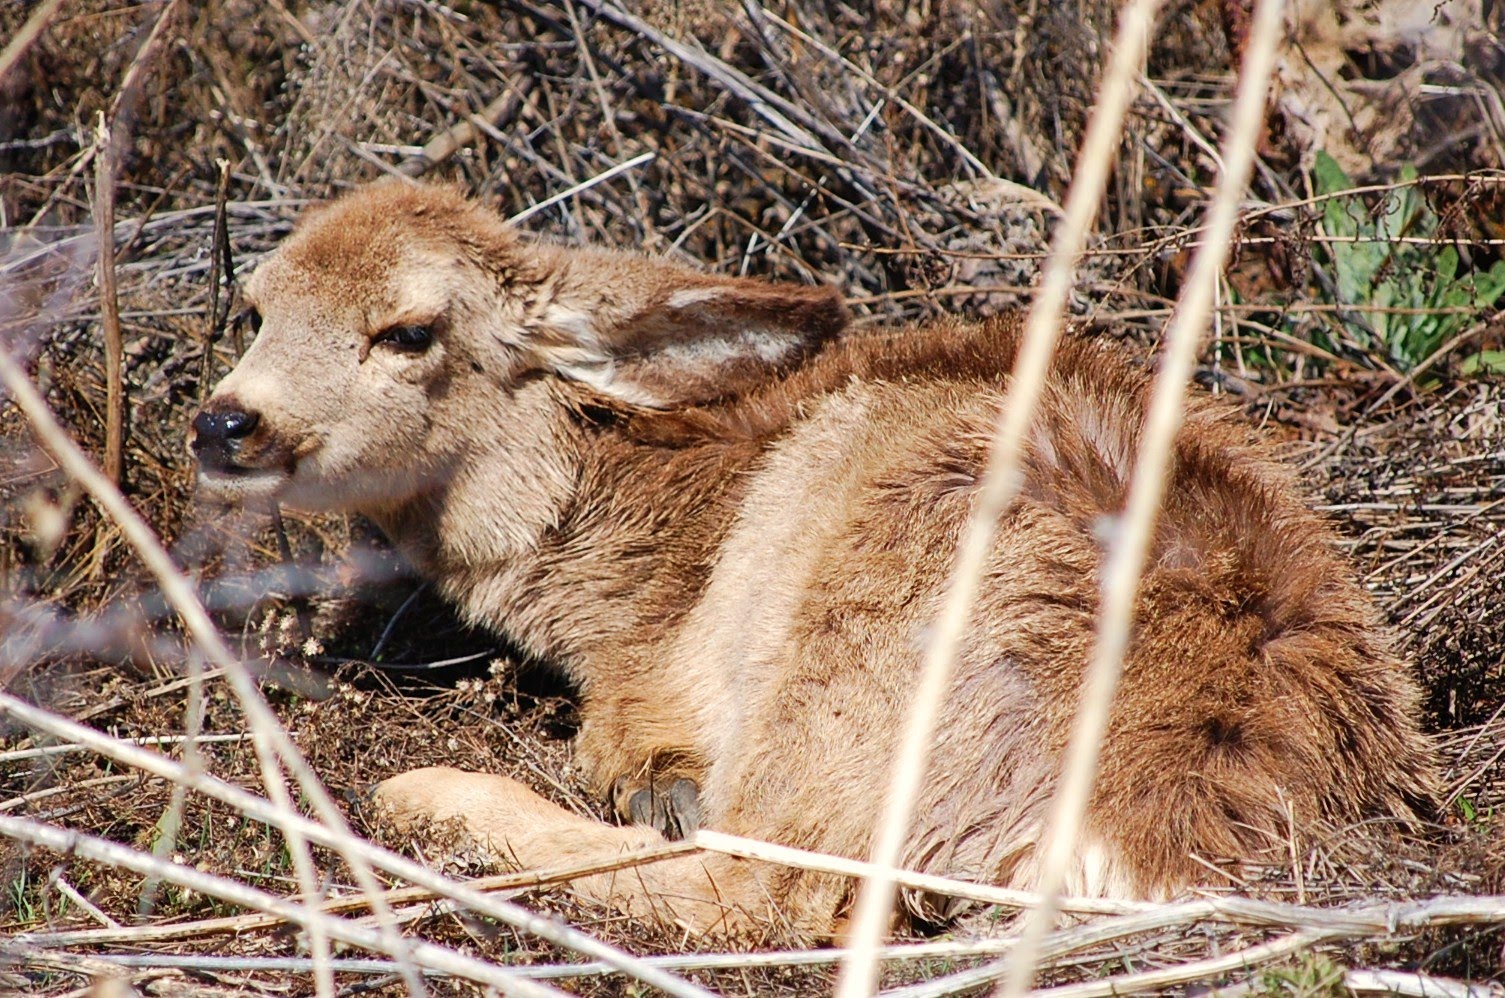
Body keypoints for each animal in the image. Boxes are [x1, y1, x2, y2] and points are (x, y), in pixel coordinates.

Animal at [191, 179, 1436, 940]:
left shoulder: (664, 674)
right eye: (252, 307)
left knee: (761, 886)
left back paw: (438, 796)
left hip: (865, 639)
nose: (225, 423)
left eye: (407, 332)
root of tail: (1166, 822)